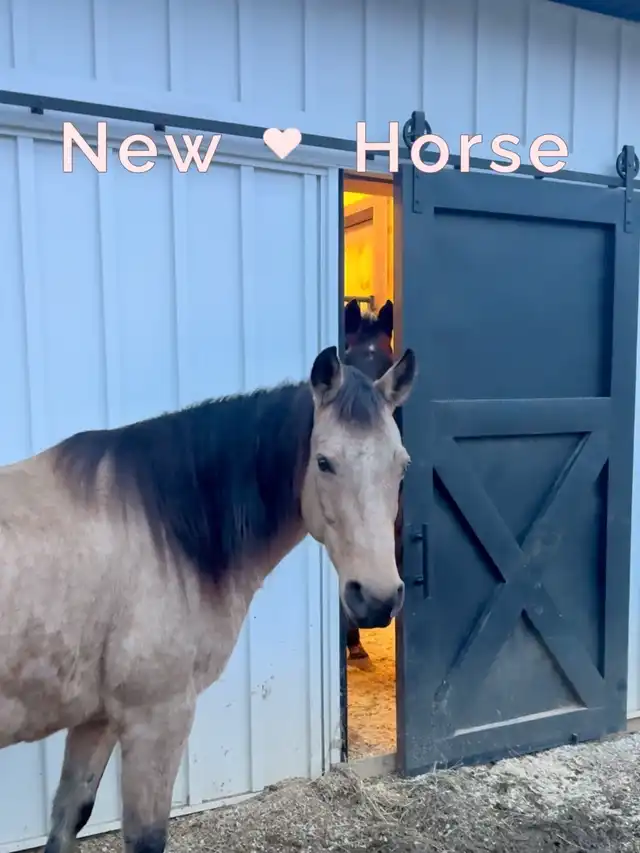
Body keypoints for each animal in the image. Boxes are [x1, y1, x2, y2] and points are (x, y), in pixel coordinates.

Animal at [0, 343, 416, 853]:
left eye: (401, 464)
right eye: (324, 462)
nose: (376, 598)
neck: (160, 530)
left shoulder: (95, 717)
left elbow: (67, 818)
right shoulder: (157, 717)